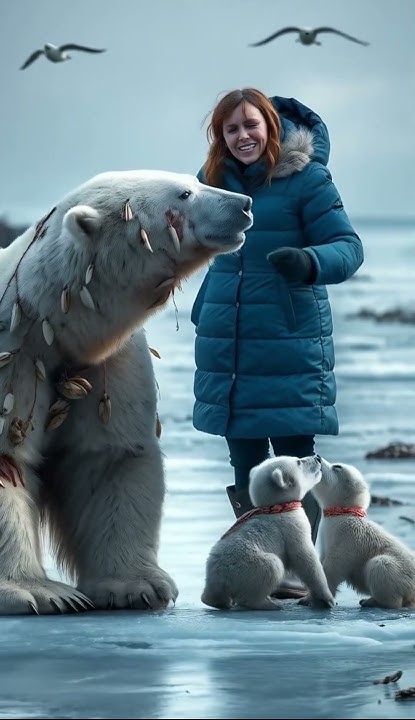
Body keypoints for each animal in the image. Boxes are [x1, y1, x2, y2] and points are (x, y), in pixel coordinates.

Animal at [0, 169, 253, 614]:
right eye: (184, 193)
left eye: (190, 180)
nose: (244, 203)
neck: (49, 319)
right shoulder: (14, 355)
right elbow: (7, 461)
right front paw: (39, 592)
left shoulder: (107, 364)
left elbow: (110, 457)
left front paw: (137, 586)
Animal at [201, 455, 335, 610]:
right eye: (299, 462)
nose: (317, 457)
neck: (277, 507)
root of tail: (218, 580)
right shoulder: (292, 527)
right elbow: (306, 559)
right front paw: (328, 598)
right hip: (248, 568)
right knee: (271, 566)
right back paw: (267, 604)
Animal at [309, 457, 415, 609]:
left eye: (337, 467)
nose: (317, 456)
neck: (344, 513)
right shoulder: (327, 536)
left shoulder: (347, 535)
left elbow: (333, 566)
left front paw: (314, 600)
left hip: (403, 577)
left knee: (380, 565)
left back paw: (372, 601)